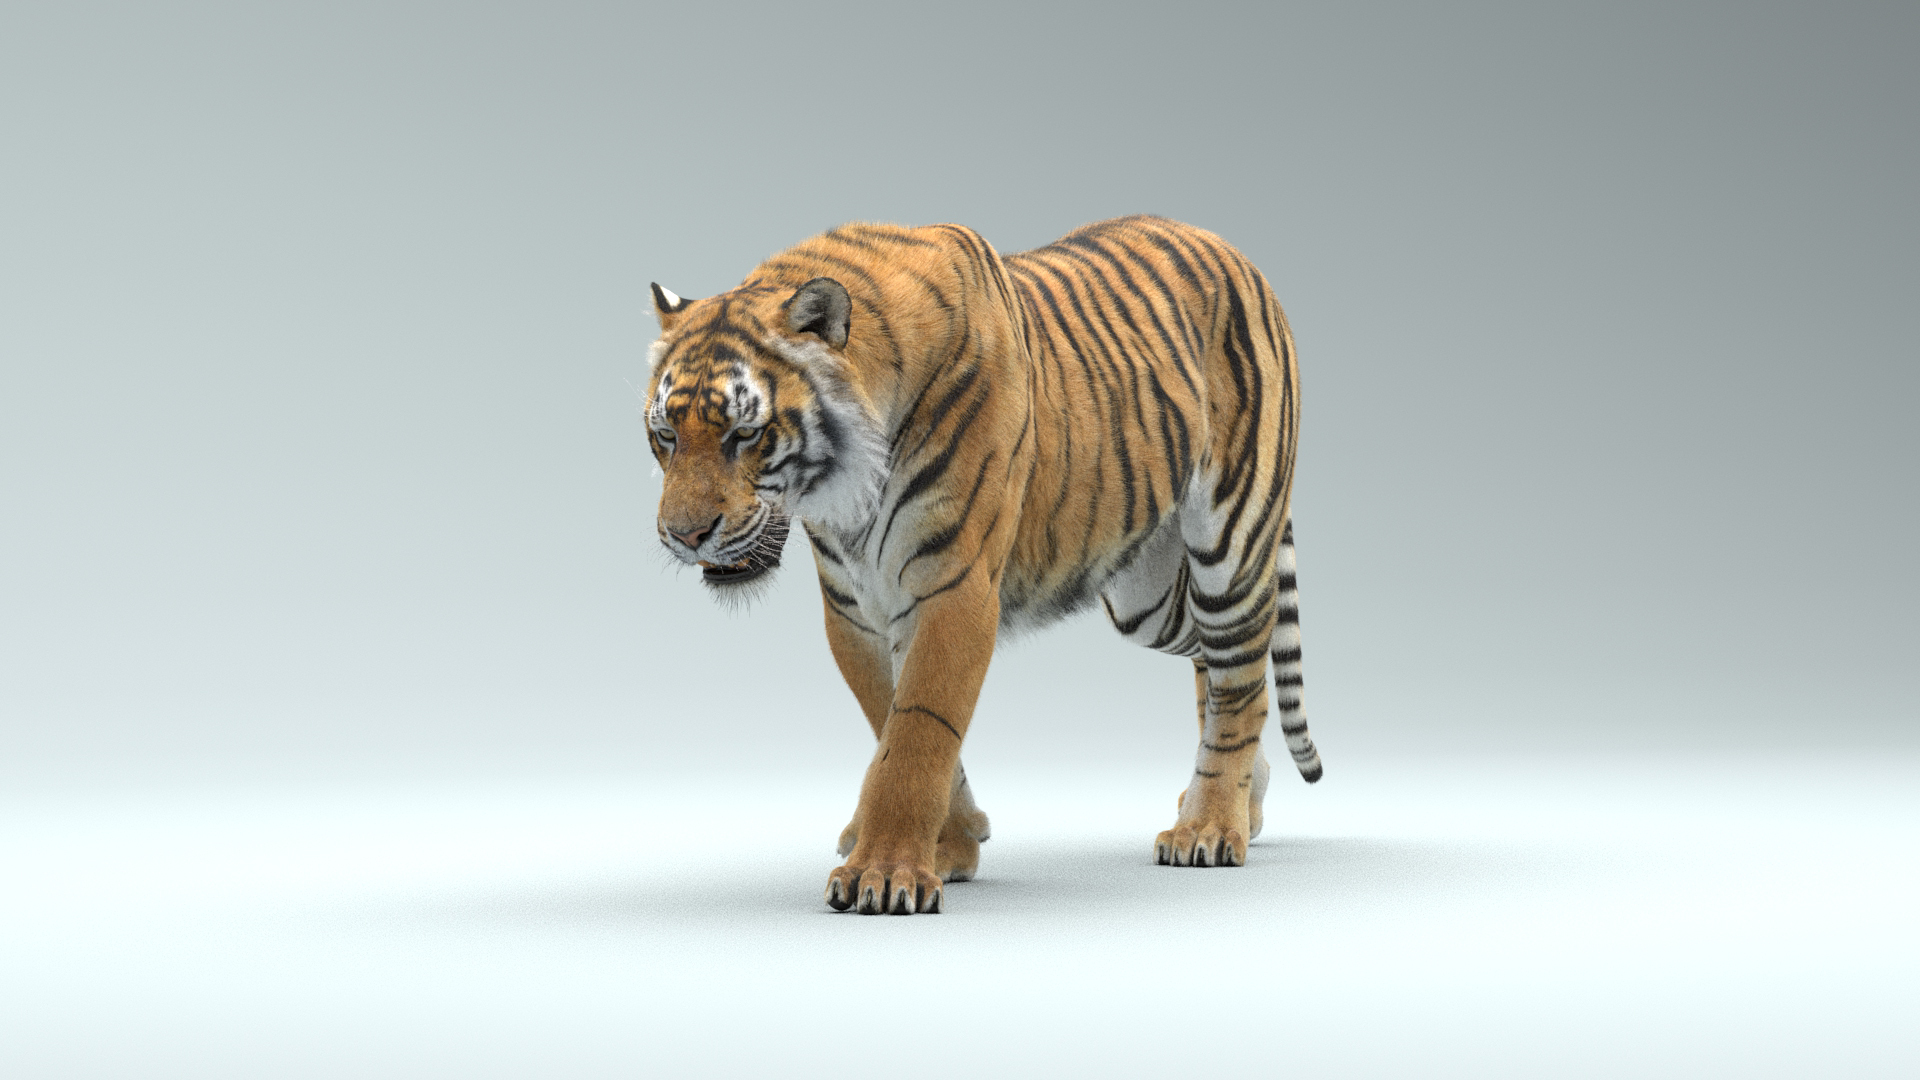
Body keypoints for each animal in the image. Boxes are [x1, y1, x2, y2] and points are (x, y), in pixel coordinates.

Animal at [643, 215, 1323, 915]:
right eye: (666, 435)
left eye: (744, 435)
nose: (683, 536)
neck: (845, 491)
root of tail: (1226, 245)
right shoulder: (854, 609)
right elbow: (889, 717)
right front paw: (954, 843)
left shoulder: (954, 587)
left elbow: (918, 730)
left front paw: (885, 872)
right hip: (1148, 597)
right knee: (1217, 661)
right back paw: (1243, 803)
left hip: (1229, 537)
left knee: (1241, 671)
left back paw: (1208, 826)